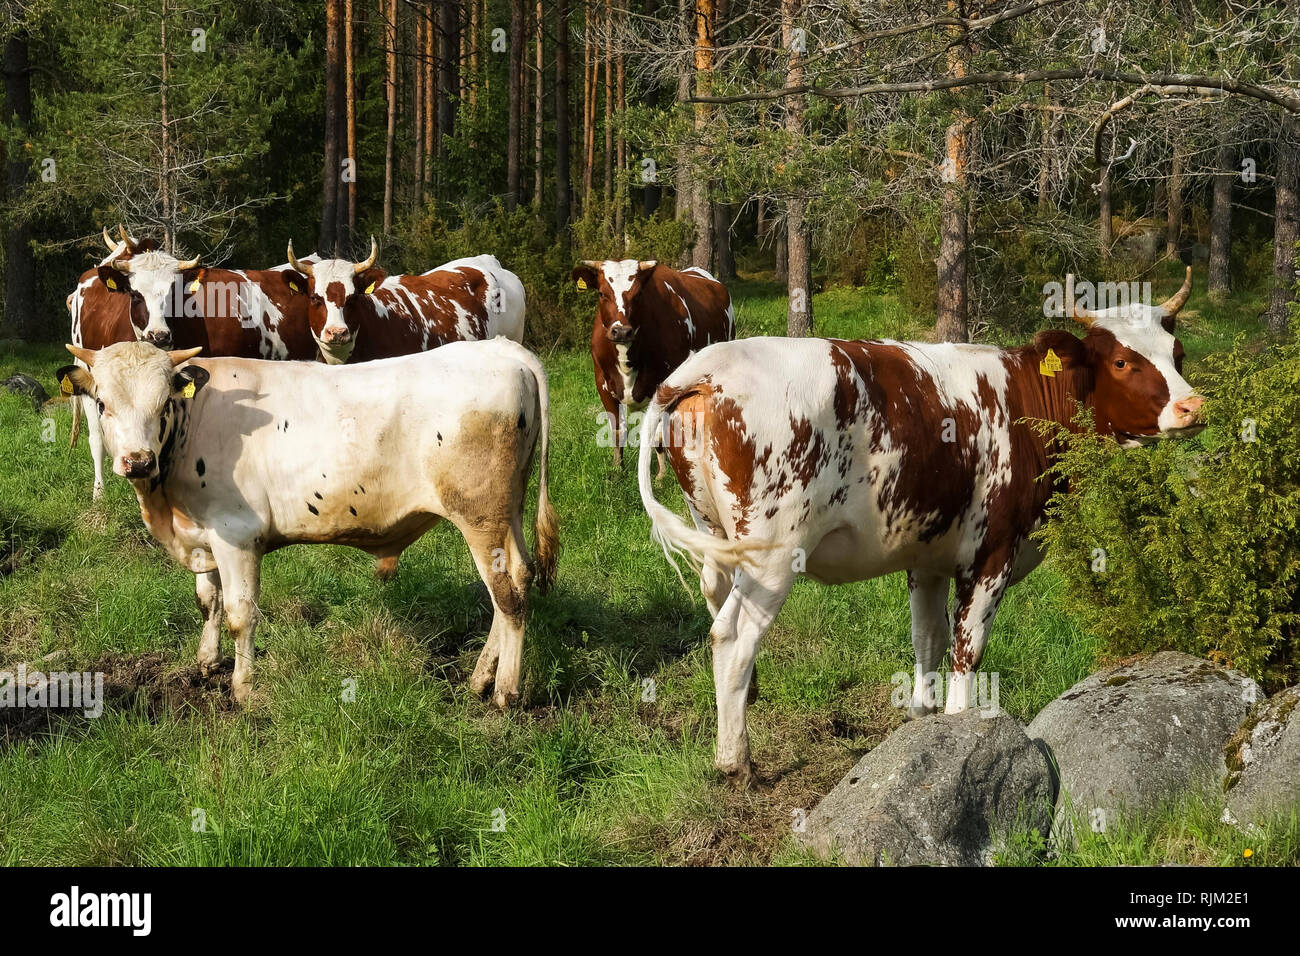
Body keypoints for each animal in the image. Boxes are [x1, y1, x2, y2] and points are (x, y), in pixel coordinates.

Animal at [55, 337, 559, 707]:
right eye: (101, 403)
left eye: (163, 404)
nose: (137, 461)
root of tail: (502, 348)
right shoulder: (203, 535)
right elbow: (207, 601)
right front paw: (206, 662)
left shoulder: (235, 534)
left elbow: (239, 613)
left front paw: (242, 689)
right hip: (507, 511)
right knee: (518, 578)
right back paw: (480, 679)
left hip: (480, 515)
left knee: (507, 597)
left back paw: (505, 693)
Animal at [571, 259, 734, 470]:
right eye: (601, 293)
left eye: (638, 294)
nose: (621, 331)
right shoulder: (602, 384)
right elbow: (617, 431)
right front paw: (617, 470)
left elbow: (657, 435)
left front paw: (661, 473)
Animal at [637, 270, 1201, 786]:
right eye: (1123, 362)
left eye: (1177, 353)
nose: (1193, 406)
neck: (1022, 404)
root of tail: (707, 366)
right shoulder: (993, 551)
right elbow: (967, 649)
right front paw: (962, 725)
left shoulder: (927, 554)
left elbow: (928, 636)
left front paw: (924, 721)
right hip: (773, 552)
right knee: (732, 635)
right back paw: (736, 761)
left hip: (715, 530)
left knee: (714, 595)